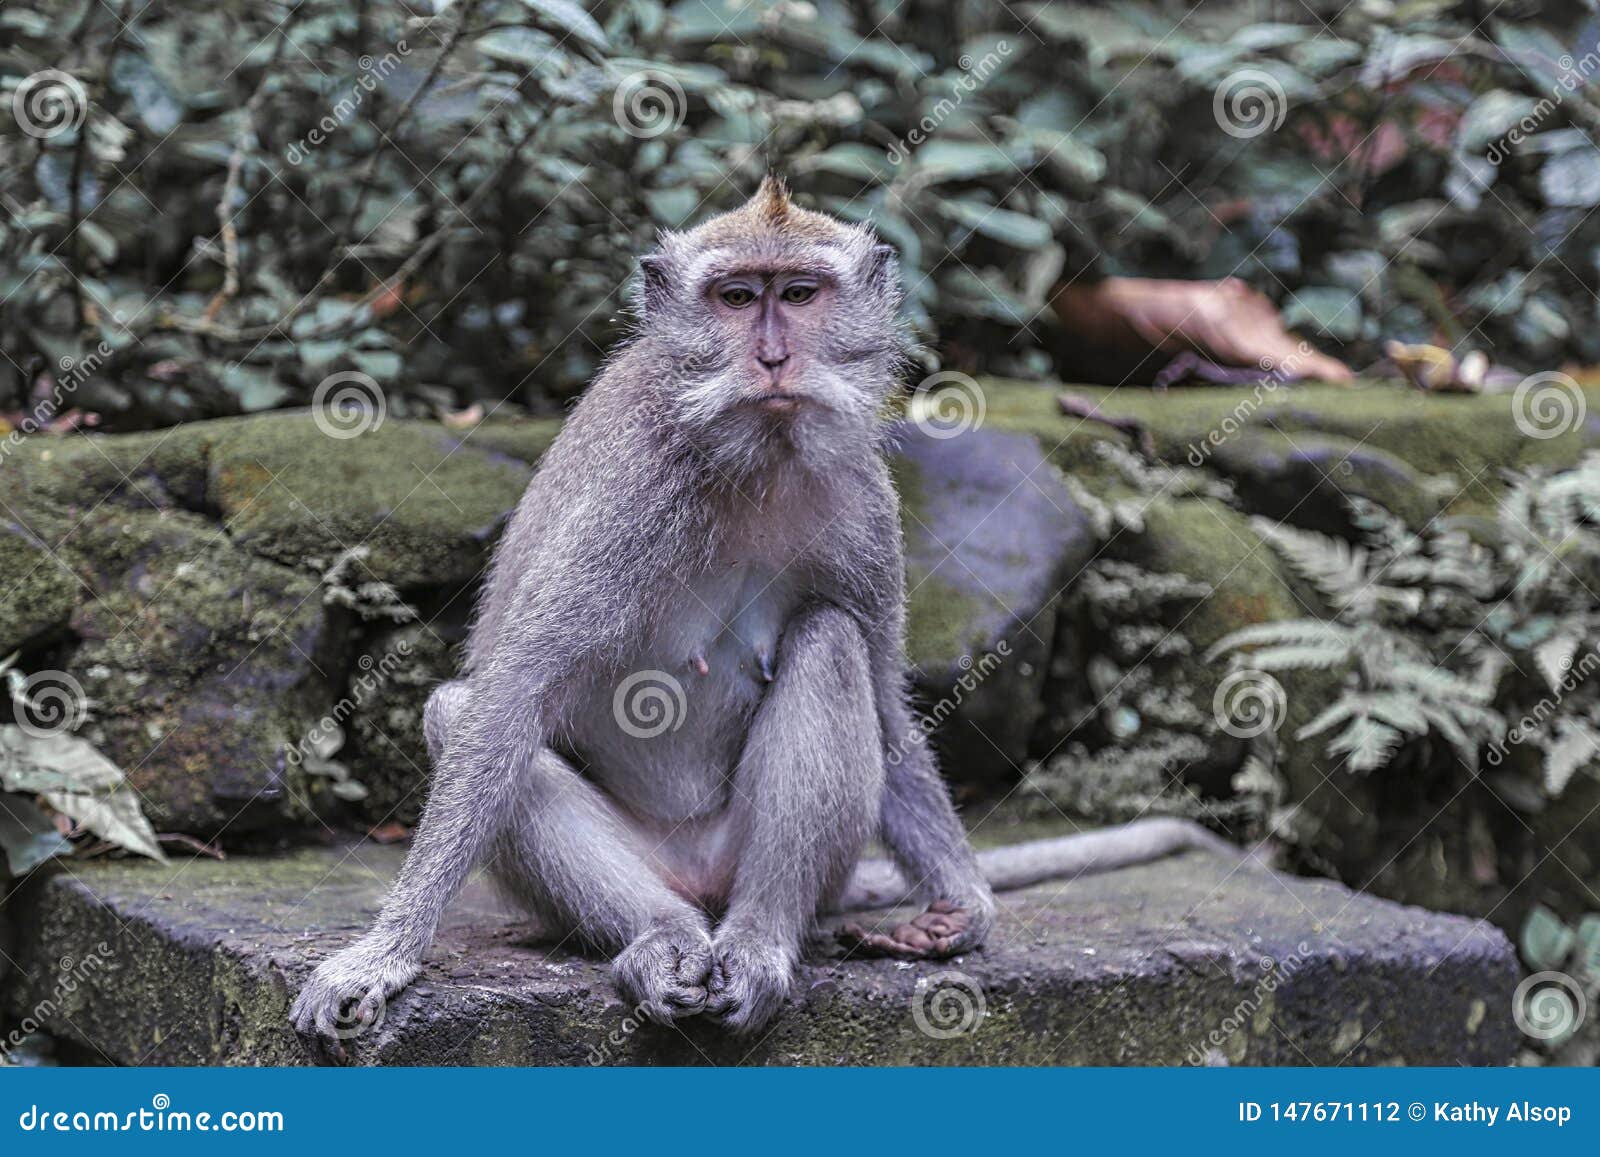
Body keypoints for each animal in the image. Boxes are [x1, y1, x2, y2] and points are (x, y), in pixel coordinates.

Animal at [288, 178, 1238, 1061]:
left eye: (802, 294)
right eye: (738, 297)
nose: (775, 355)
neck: (759, 453)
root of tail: (704, 884)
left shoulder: (863, 501)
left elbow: (884, 696)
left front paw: (964, 898)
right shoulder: (632, 491)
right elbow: (510, 696)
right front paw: (387, 949)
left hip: (774, 854)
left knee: (830, 642)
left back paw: (759, 941)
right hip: (649, 867)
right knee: (465, 719)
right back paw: (662, 940)